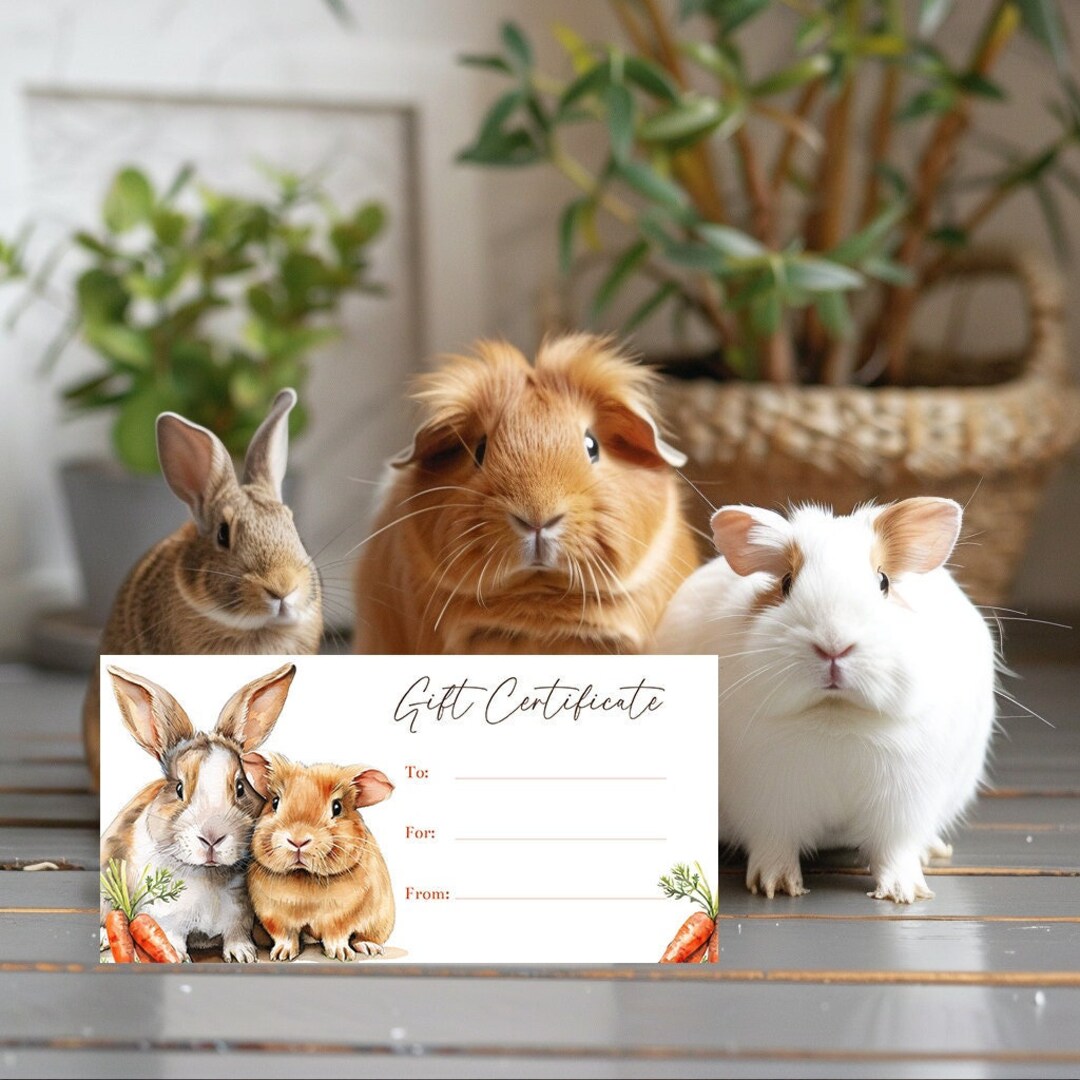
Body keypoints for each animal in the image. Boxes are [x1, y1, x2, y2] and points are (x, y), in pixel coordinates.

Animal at [99, 662, 297, 961]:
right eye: (179, 788)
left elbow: (236, 936)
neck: (207, 875)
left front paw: (243, 955)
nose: (212, 838)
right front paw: (178, 958)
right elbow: (172, 938)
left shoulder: (238, 917)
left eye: (241, 788)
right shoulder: (167, 919)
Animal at [246, 754, 395, 961]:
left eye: (337, 807)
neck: (304, 875)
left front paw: (341, 954)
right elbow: (286, 936)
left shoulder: (340, 918)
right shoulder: (275, 916)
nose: (298, 840)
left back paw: (368, 947)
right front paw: (282, 954)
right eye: (275, 802)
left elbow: (336, 936)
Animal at [652, 497, 996, 904]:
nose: (834, 645)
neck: (835, 717)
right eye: (786, 583)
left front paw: (904, 893)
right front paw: (776, 886)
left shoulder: (903, 804)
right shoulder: (766, 801)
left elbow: (894, 851)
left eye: (883, 582)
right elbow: (774, 846)